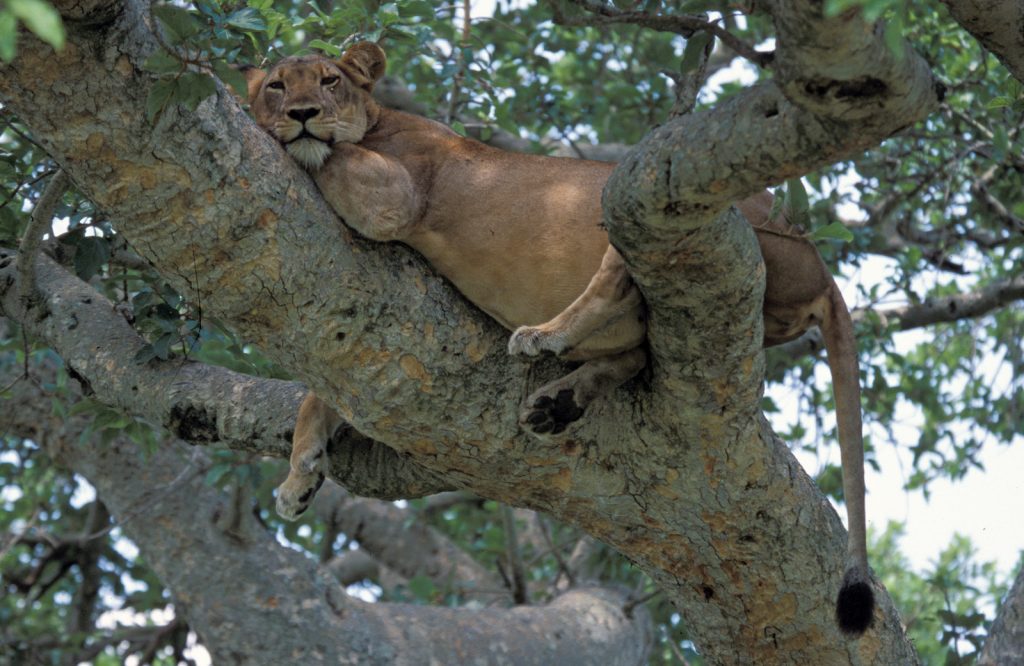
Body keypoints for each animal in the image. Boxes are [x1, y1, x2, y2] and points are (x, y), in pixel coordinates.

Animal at [243, 41, 874, 636]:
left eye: (330, 81)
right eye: (277, 86)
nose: (302, 113)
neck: (379, 119)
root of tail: (822, 268)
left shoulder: (396, 198)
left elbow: (332, 154)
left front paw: (295, 137)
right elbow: (319, 394)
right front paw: (299, 478)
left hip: (646, 197)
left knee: (616, 284)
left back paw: (544, 339)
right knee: (636, 351)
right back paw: (556, 403)